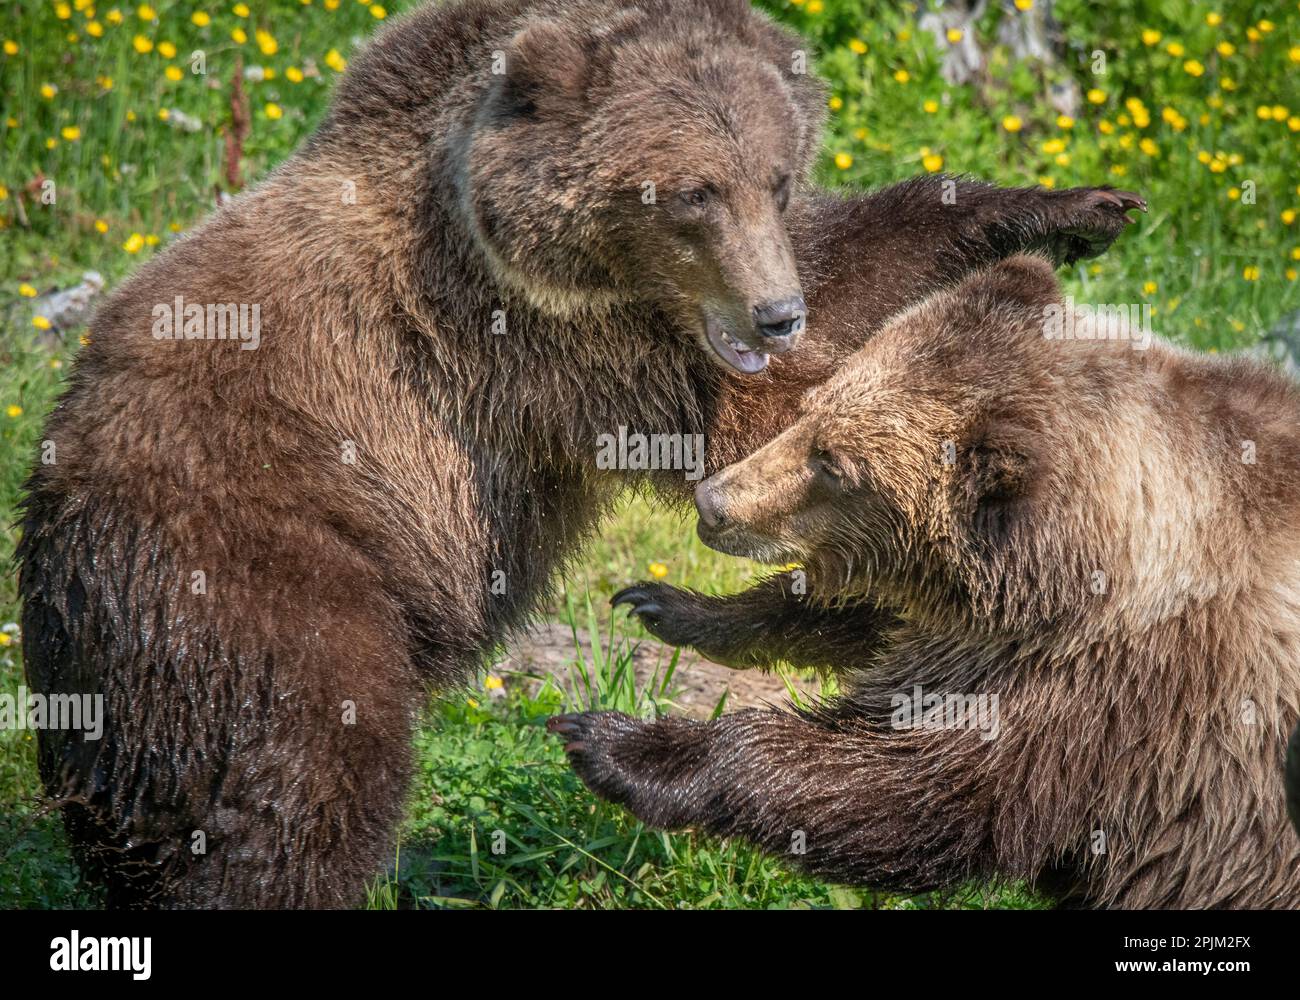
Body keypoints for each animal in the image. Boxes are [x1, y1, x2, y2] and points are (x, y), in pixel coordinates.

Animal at [18, 0, 1142, 908]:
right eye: (691, 191)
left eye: (774, 177)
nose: (773, 315)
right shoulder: (540, 347)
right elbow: (747, 419)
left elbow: (861, 255)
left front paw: (1073, 210)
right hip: (260, 564)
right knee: (294, 771)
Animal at [553, 255, 1300, 909]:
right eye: (815, 406)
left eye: (835, 465)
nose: (714, 503)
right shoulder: (976, 623)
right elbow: (865, 616)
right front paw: (669, 604)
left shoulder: (1118, 703)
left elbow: (913, 786)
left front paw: (617, 744)